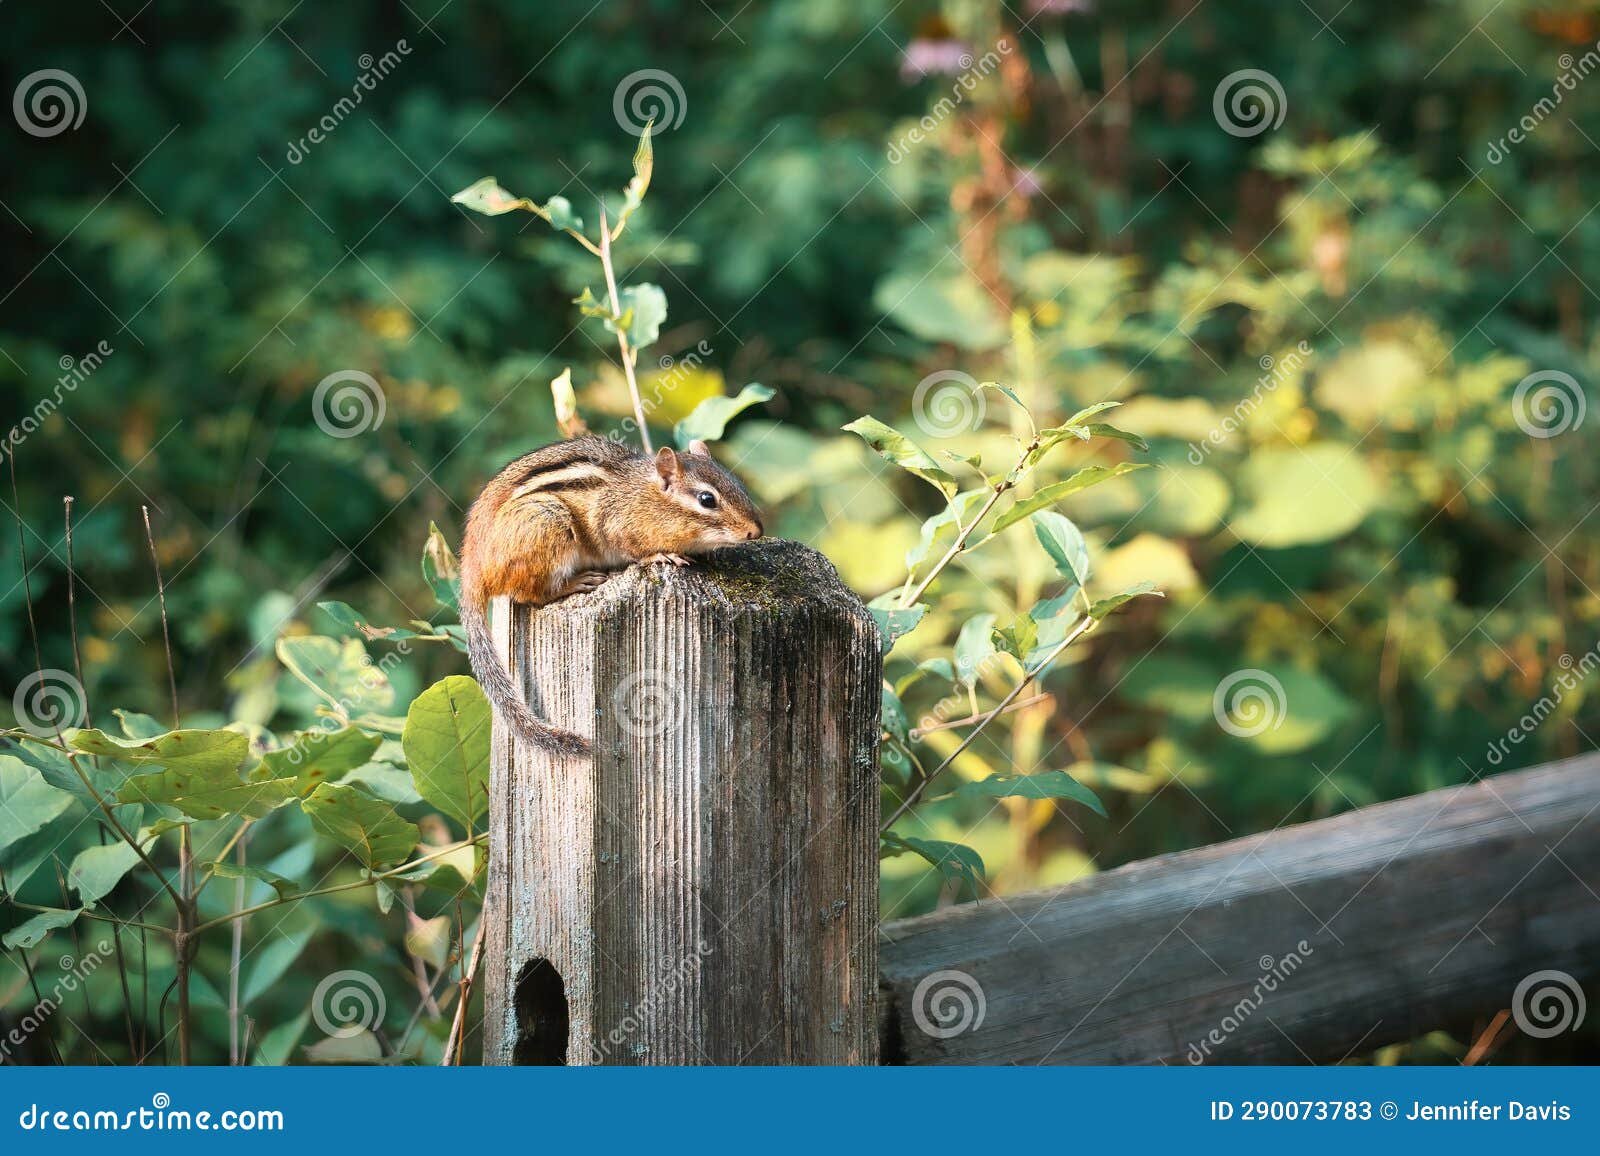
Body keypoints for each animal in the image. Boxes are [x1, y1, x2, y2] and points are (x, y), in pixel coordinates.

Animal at [458, 435, 764, 755]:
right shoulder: (615, 527)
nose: (756, 531)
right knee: (530, 594)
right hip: (547, 522)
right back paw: (576, 582)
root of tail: (473, 567)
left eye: (739, 484)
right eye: (707, 500)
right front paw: (661, 555)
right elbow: (633, 549)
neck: (647, 496)